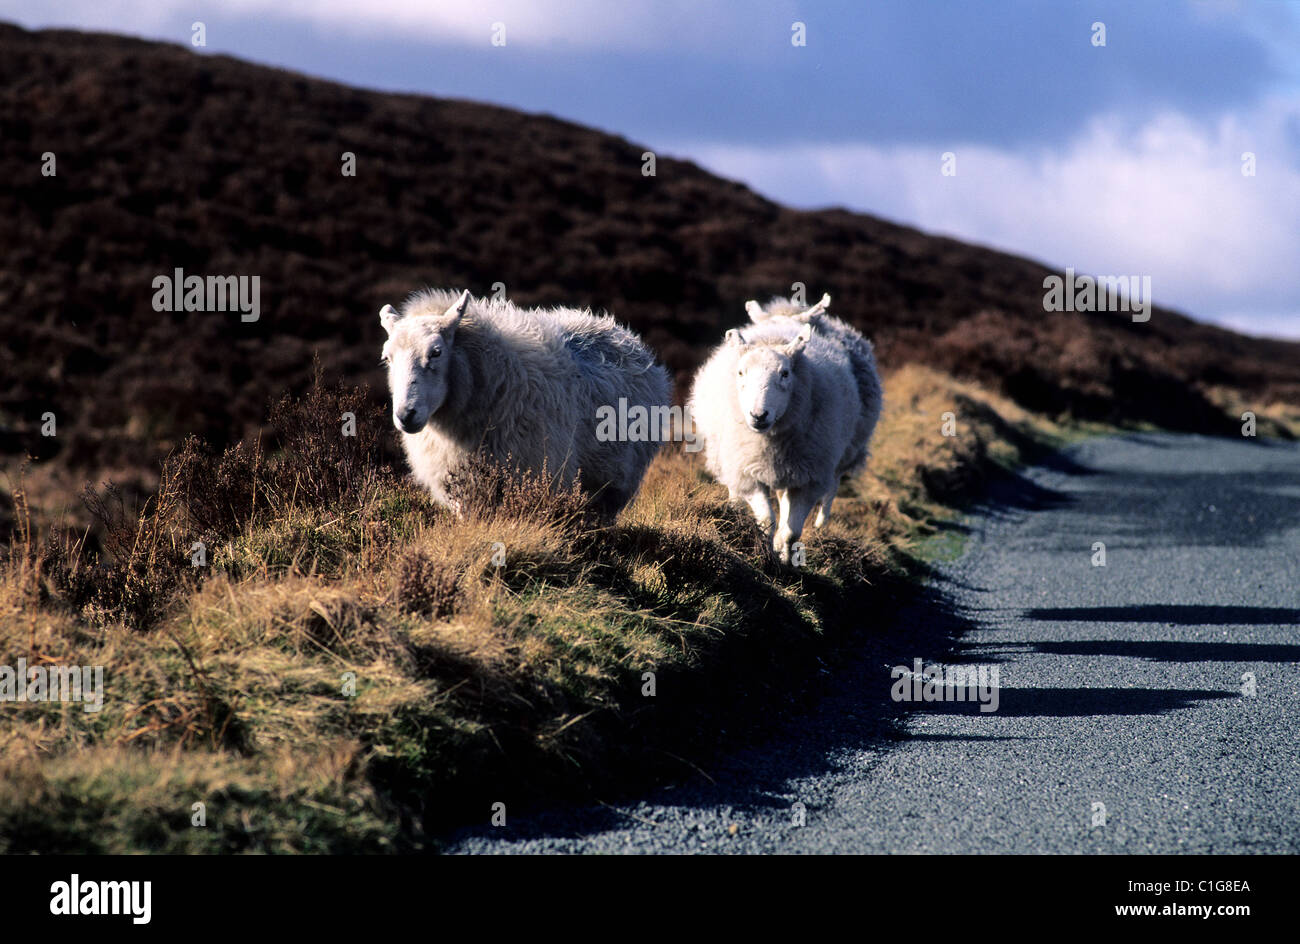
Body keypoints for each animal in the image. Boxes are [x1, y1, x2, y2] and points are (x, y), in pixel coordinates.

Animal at [378, 288, 670, 518]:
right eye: (387, 358)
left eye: (436, 352)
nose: (405, 415)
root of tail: (620, 332)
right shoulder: (465, 491)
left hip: (615, 485)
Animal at [687, 314, 867, 563]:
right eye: (741, 372)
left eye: (785, 373)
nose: (758, 415)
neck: (771, 442)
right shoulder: (749, 473)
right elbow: (766, 521)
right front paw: (765, 553)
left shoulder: (808, 480)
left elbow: (792, 531)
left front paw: (785, 558)